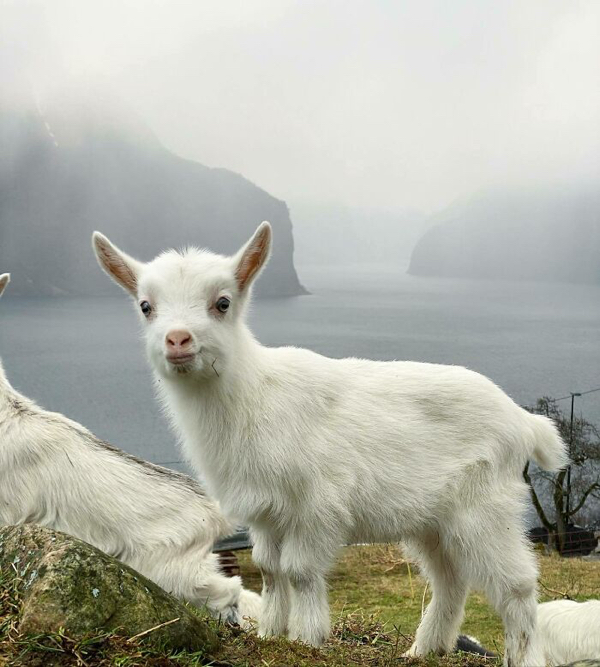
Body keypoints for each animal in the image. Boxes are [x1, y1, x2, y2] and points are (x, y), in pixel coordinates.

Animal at [93, 224, 568, 666]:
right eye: (146, 306)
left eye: (222, 302)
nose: (177, 339)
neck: (253, 394)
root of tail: (523, 420)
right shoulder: (266, 513)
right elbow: (269, 570)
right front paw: (271, 633)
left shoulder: (316, 506)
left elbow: (299, 571)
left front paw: (307, 638)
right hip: (434, 522)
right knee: (449, 580)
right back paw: (423, 649)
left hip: (486, 508)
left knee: (517, 584)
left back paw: (521, 654)